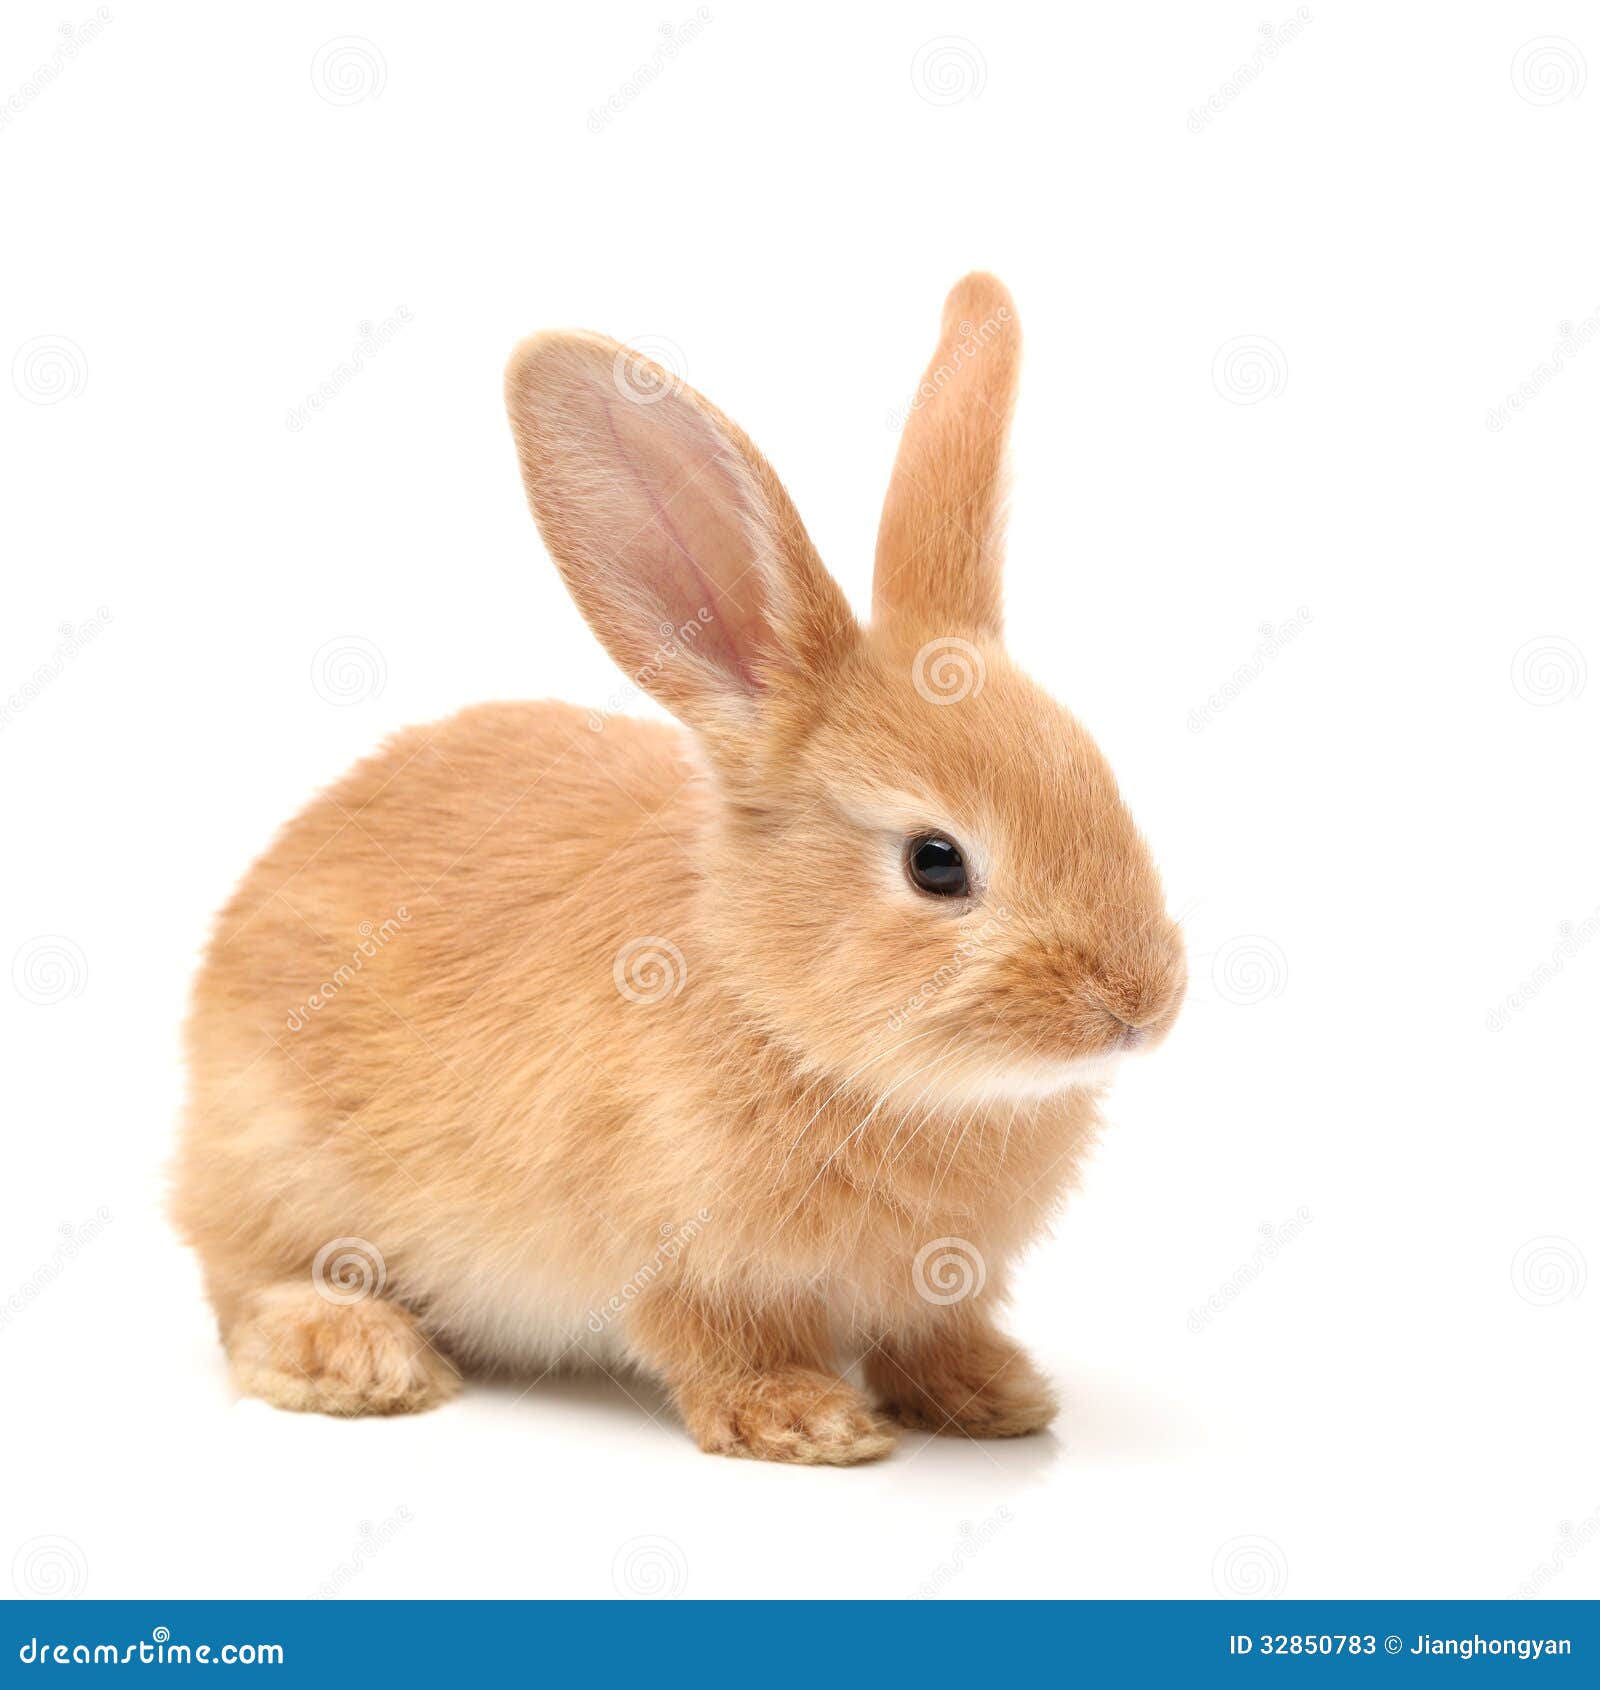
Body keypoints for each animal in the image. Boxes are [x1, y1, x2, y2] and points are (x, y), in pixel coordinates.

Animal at [171, 273, 1186, 1465]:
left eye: (1100, 780)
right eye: (936, 863)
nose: (1140, 1004)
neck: (778, 1005)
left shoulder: (938, 1286)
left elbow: (930, 1334)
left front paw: (993, 1396)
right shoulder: (673, 1251)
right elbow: (716, 1342)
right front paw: (802, 1420)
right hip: (274, 1164)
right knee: (243, 1285)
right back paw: (357, 1354)